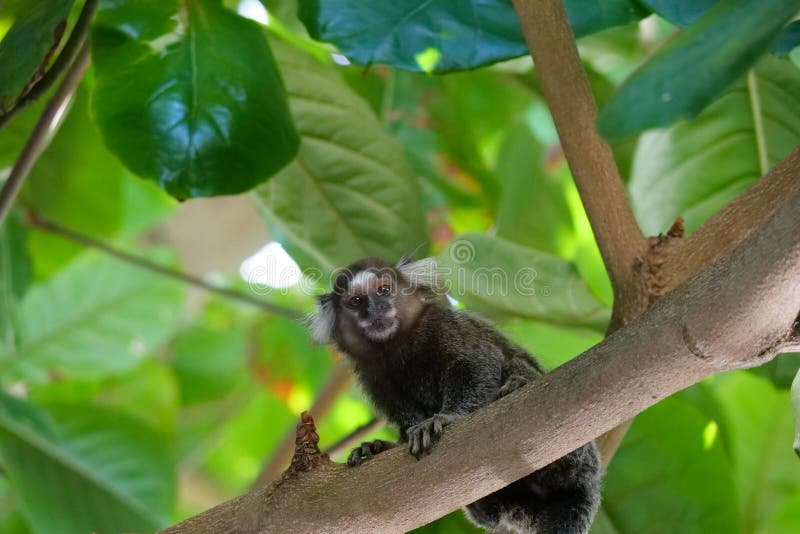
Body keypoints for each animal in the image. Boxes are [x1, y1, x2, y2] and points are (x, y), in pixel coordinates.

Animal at [309, 256, 601, 533]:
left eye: (383, 290)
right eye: (356, 301)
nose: (374, 310)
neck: (396, 347)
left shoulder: (444, 328)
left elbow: (479, 363)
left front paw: (448, 418)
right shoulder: (373, 376)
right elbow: (405, 418)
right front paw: (380, 446)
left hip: (578, 455)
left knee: (517, 365)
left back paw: (517, 385)